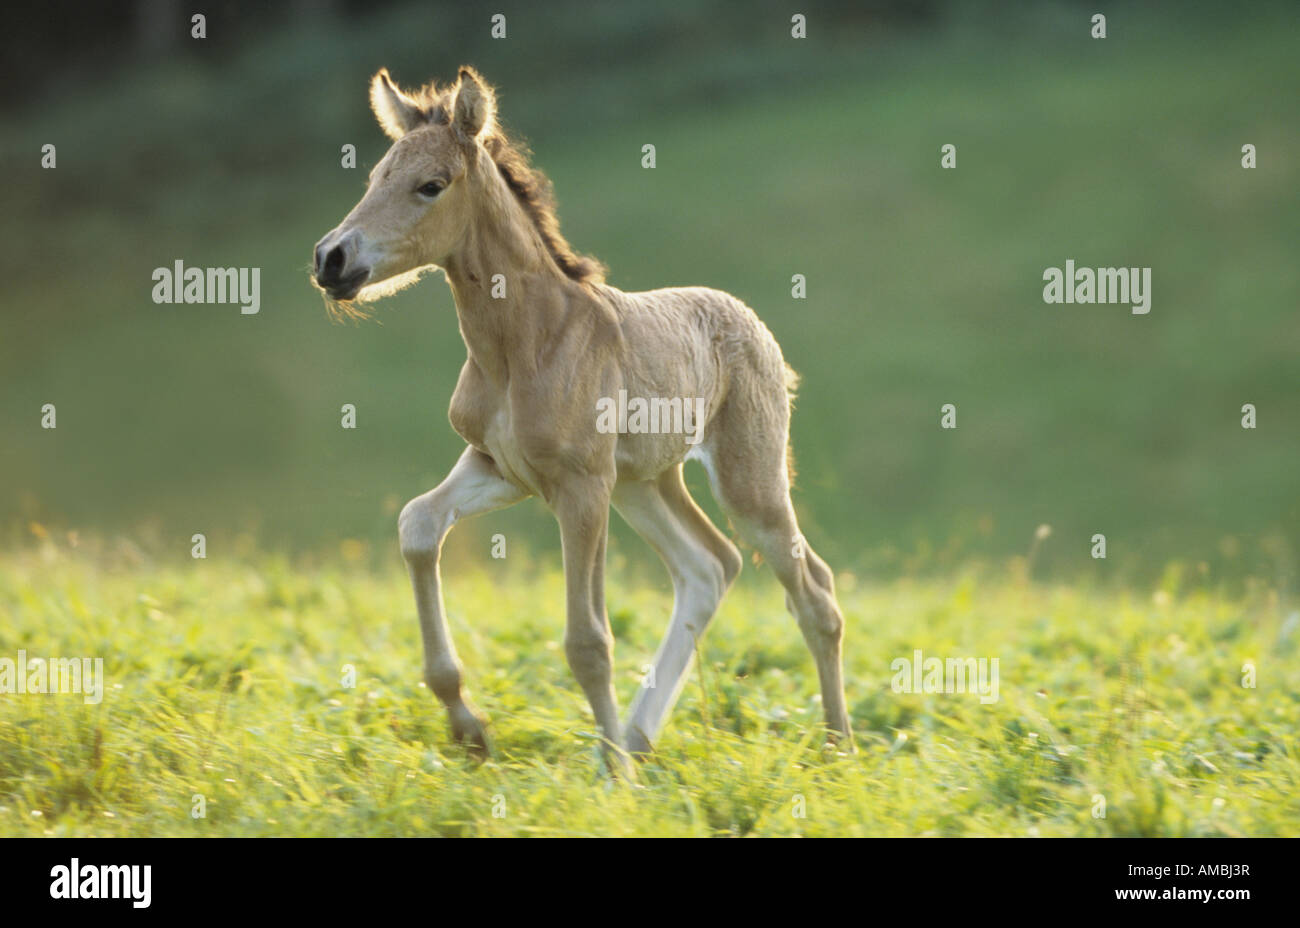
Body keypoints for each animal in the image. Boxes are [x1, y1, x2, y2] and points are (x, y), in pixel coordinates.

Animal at [312, 66, 851, 772]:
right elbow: (418, 524)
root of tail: (755, 326)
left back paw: (837, 745)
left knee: (812, 589)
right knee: (710, 565)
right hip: (644, 483)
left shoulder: (580, 486)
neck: (522, 344)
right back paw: (639, 737)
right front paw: (468, 726)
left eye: (431, 184)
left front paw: (612, 779)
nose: (332, 259)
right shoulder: (502, 467)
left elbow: (588, 639)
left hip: (746, 478)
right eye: (374, 175)